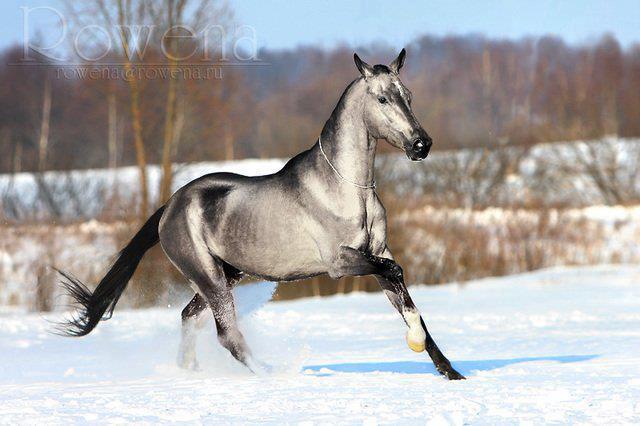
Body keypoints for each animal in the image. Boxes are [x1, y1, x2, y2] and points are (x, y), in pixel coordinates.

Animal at [58, 49, 465, 380]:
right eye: (382, 98)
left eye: (408, 96)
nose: (422, 145)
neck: (347, 188)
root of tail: (170, 207)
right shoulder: (340, 262)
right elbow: (397, 274)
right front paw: (419, 344)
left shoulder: (376, 254)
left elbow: (406, 299)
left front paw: (450, 372)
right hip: (210, 278)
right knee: (227, 335)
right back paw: (269, 372)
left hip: (224, 275)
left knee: (189, 318)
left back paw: (191, 372)